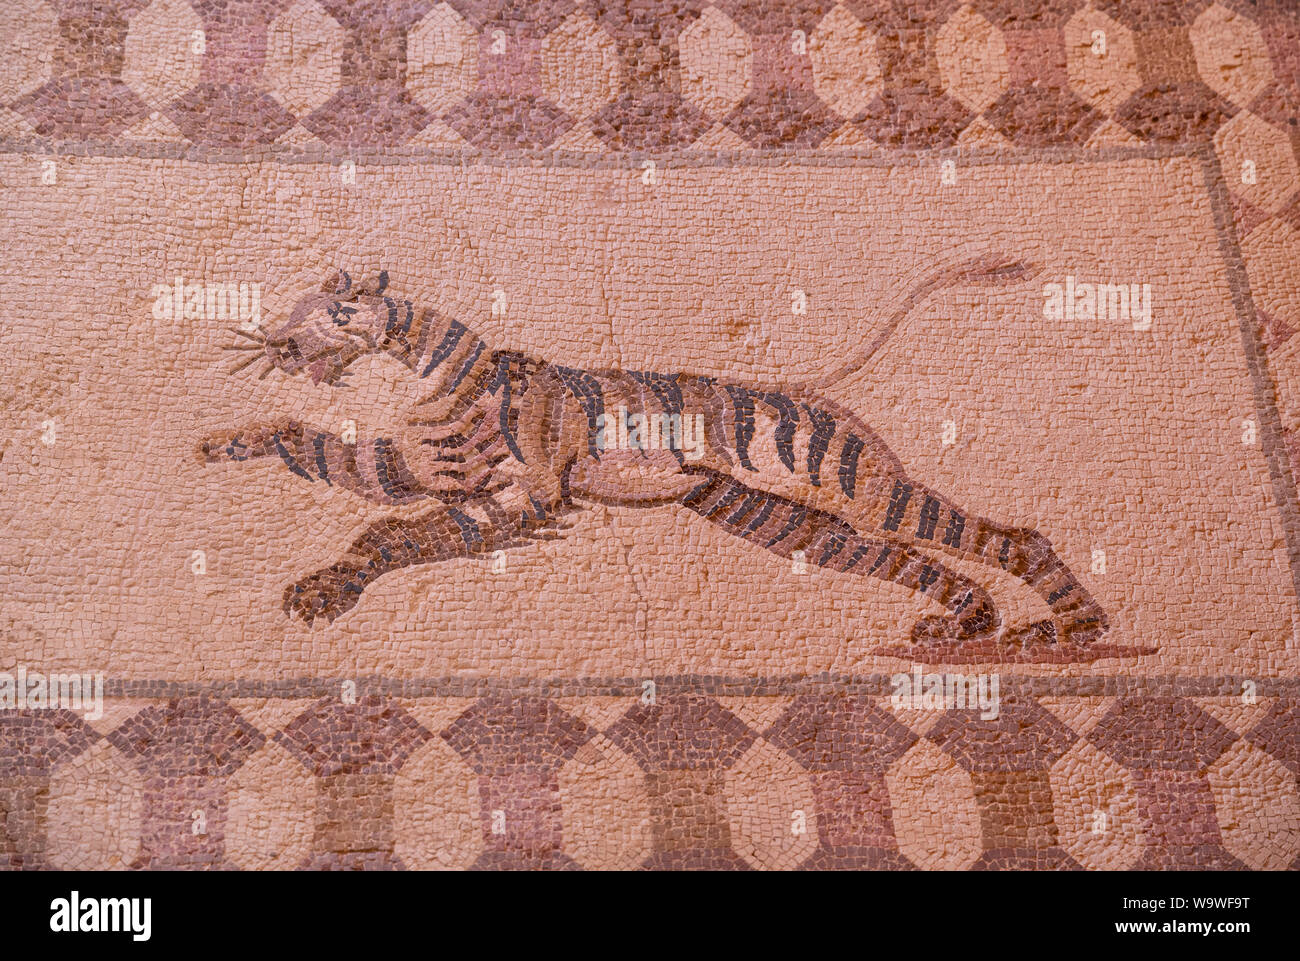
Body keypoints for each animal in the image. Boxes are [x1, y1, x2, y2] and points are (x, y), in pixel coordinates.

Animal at [202, 261, 1118, 661]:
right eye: (294, 307)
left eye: (337, 311)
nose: (281, 342)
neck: (419, 378)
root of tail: (801, 388)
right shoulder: (404, 468)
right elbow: (314, 447)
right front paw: (223, 442)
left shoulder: (526, 494)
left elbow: (393, 537)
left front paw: (324, 592)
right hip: (783, 523)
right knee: (916, 562)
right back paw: (967, 625)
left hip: (859, 492)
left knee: (1005, 535)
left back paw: (1071, 628)